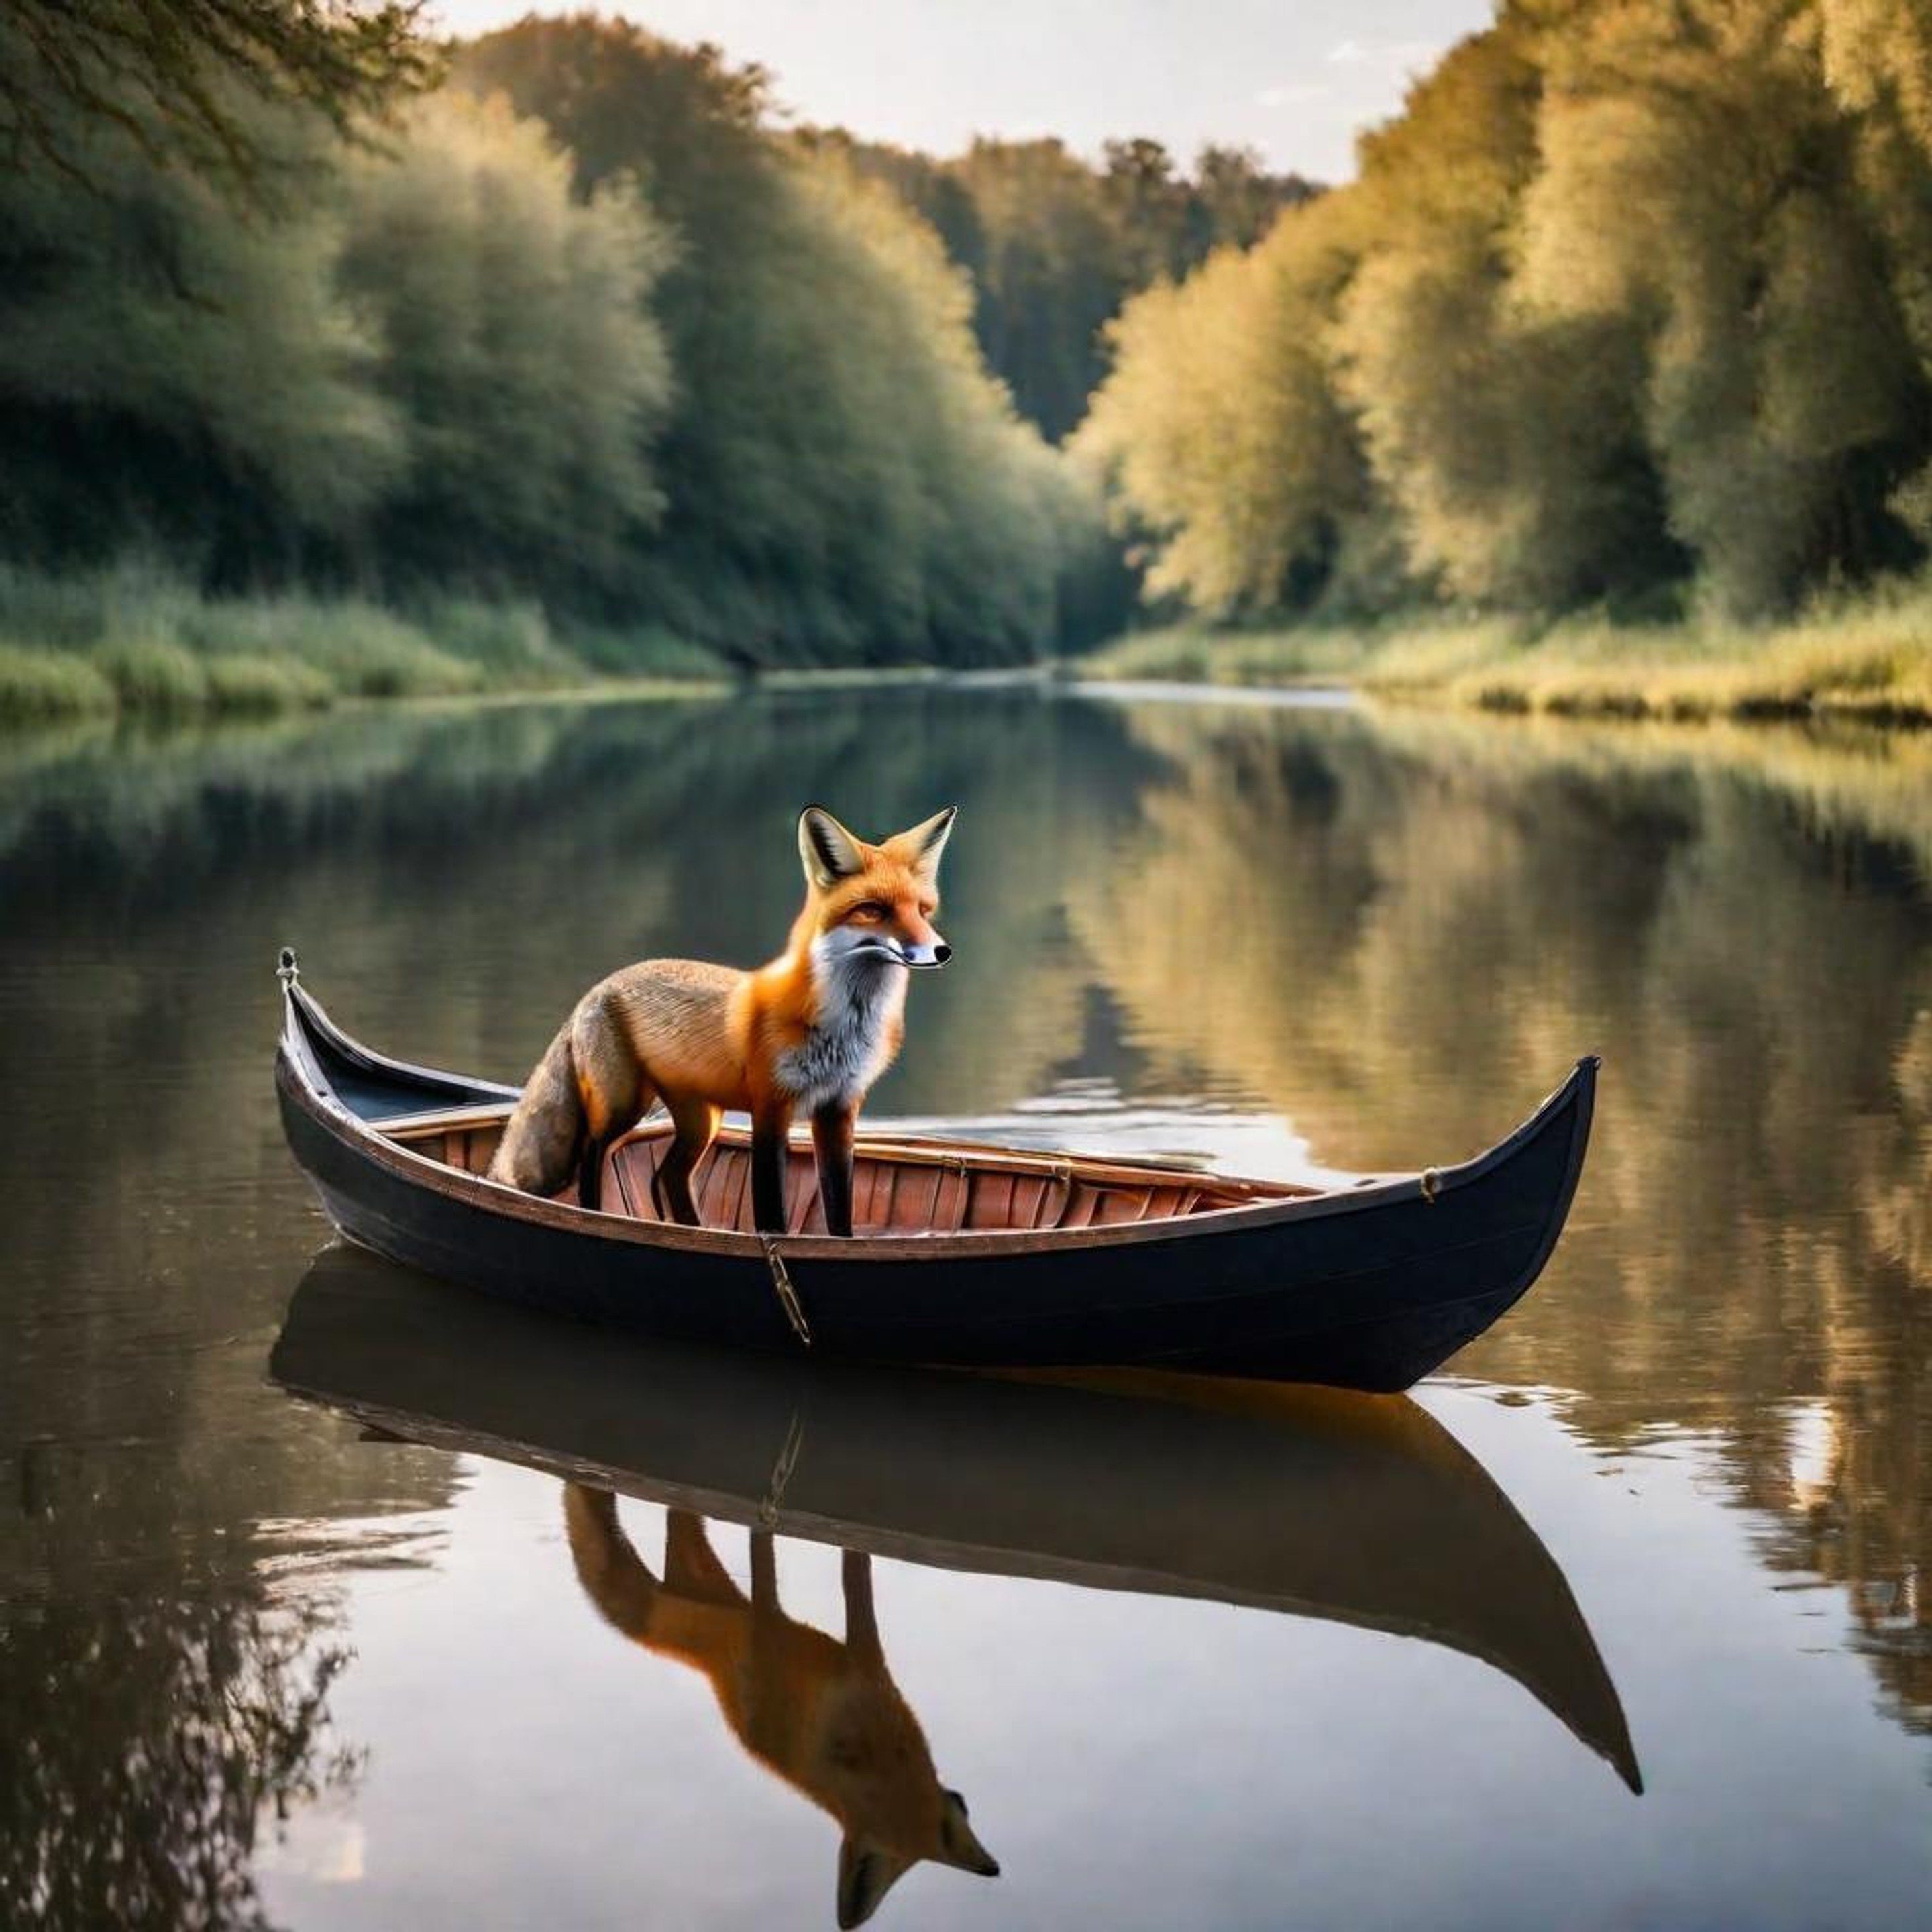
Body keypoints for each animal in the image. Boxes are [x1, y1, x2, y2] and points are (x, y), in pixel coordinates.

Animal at [486, 804, 956, 1233]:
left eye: (923, 910)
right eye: (874, 910)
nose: (942, 951)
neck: (846, 1028)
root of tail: (597, 987)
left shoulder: (840, 1109)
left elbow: (840, 1210)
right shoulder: (771, 1108)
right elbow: (771, 1215)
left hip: (701, 1121)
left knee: (668, 1176)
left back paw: (691, 1229)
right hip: (624, 1105)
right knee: (592, 1154)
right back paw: (596, 1216)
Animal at [563, 1486, 999, 1928]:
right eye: (953, 1818)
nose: (990, 1866)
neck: (876, 1750)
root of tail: (708, 1668)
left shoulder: (867, 1666)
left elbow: (850, 1575)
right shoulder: (818, 1647)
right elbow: (811, 1571)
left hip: (705, 1581)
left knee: (682, 1539)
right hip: (726, 1609)